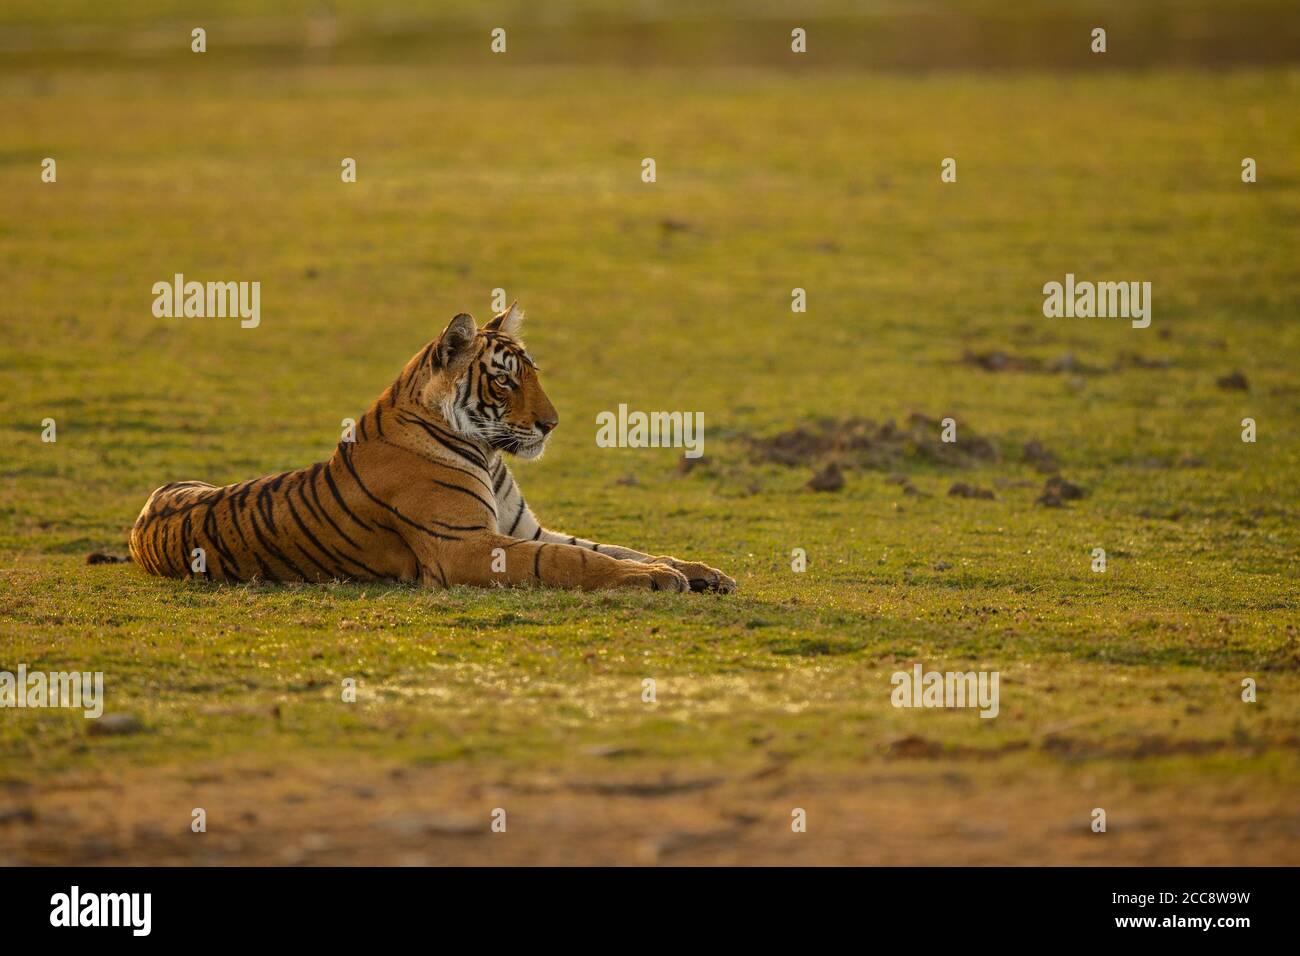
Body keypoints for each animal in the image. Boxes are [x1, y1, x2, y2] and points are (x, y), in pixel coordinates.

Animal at [128, 303, 736, 594]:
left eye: (534, 372)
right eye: (506, 380)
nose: (553, 424)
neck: (488, 452)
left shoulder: (524, 529)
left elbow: (611, 547)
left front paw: (697, 570)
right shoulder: (465, 545)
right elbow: (572, 560)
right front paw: (651, 580)